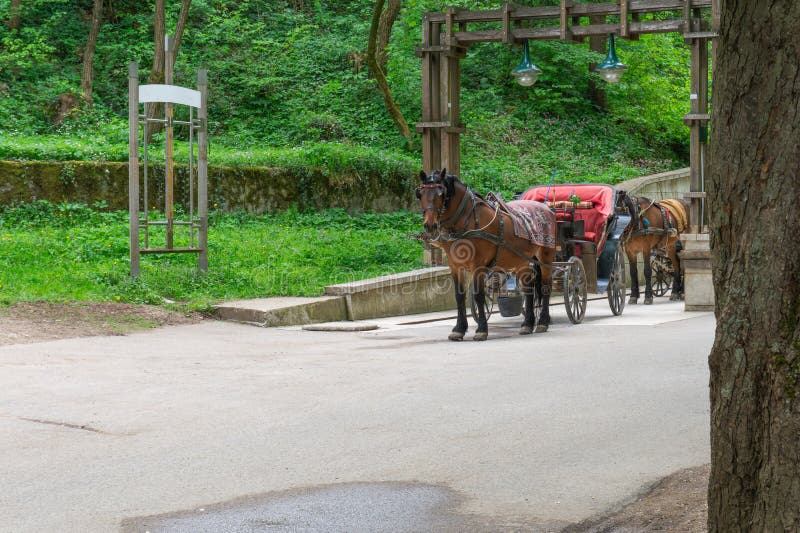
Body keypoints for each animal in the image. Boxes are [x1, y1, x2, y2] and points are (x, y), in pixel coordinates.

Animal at [416, 169, 557, 341]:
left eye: (441, 194)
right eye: (420, 194)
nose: (429, 225)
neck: (467, 221)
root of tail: (547, 208)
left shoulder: (478, 265)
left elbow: (478, 296)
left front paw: (481, 329)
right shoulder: (455, 266)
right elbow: (459, 296)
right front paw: (459, 329)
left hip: (545, 258)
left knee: (545, 287)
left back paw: (543, 321)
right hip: (522, 261)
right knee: (529, 288)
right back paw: (527, 324)